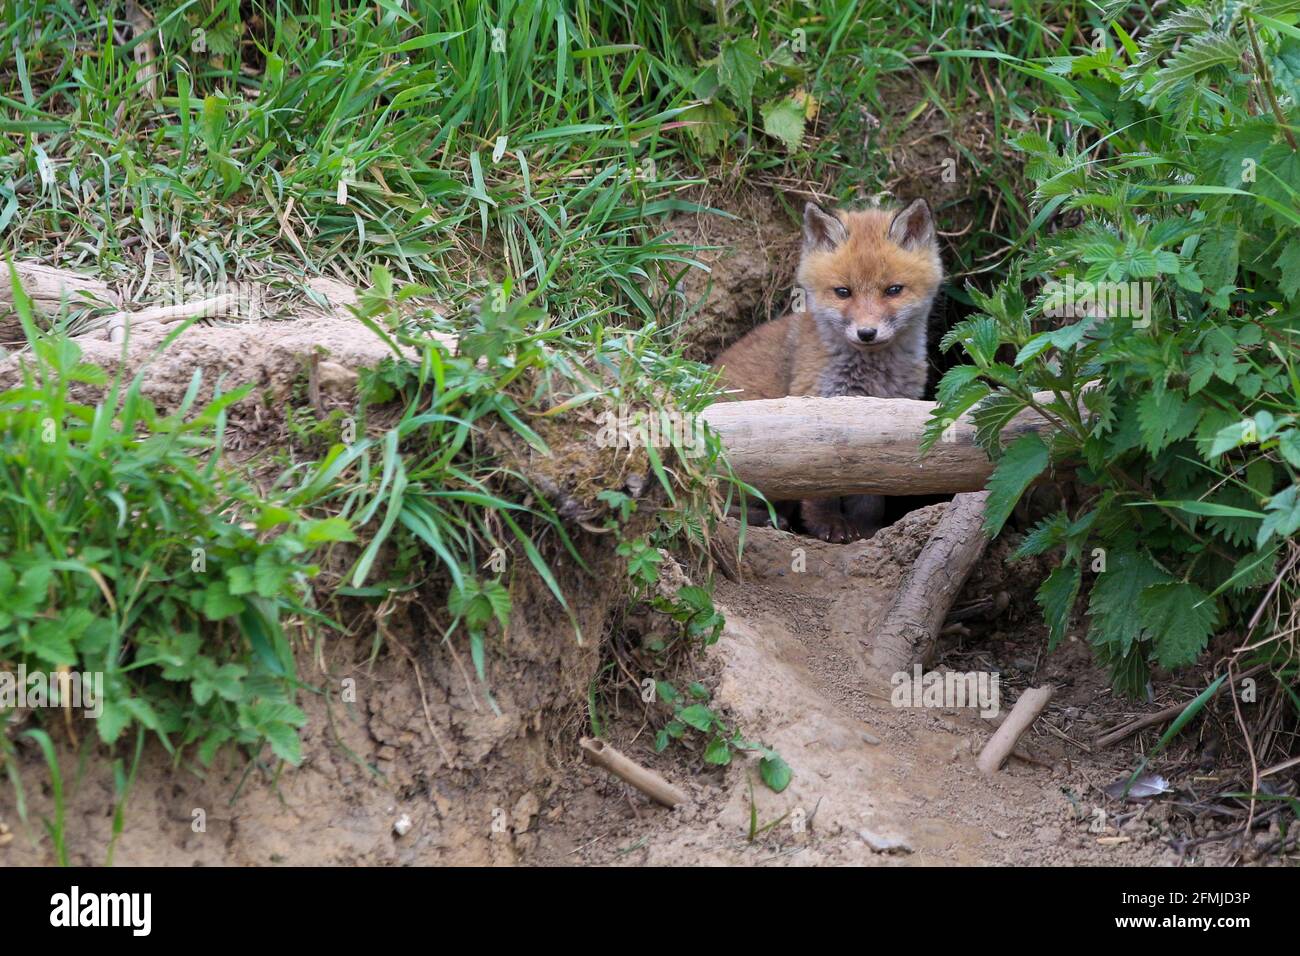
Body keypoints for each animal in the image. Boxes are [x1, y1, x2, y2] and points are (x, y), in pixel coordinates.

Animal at [711, 197, 943, 543]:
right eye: (843, 292)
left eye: (893, 290)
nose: (867, 333)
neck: (873, 377)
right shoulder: (816, 414)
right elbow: (821, 490)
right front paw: (828, 526)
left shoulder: (883, 429)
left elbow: (870, 493)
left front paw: (867, 529)